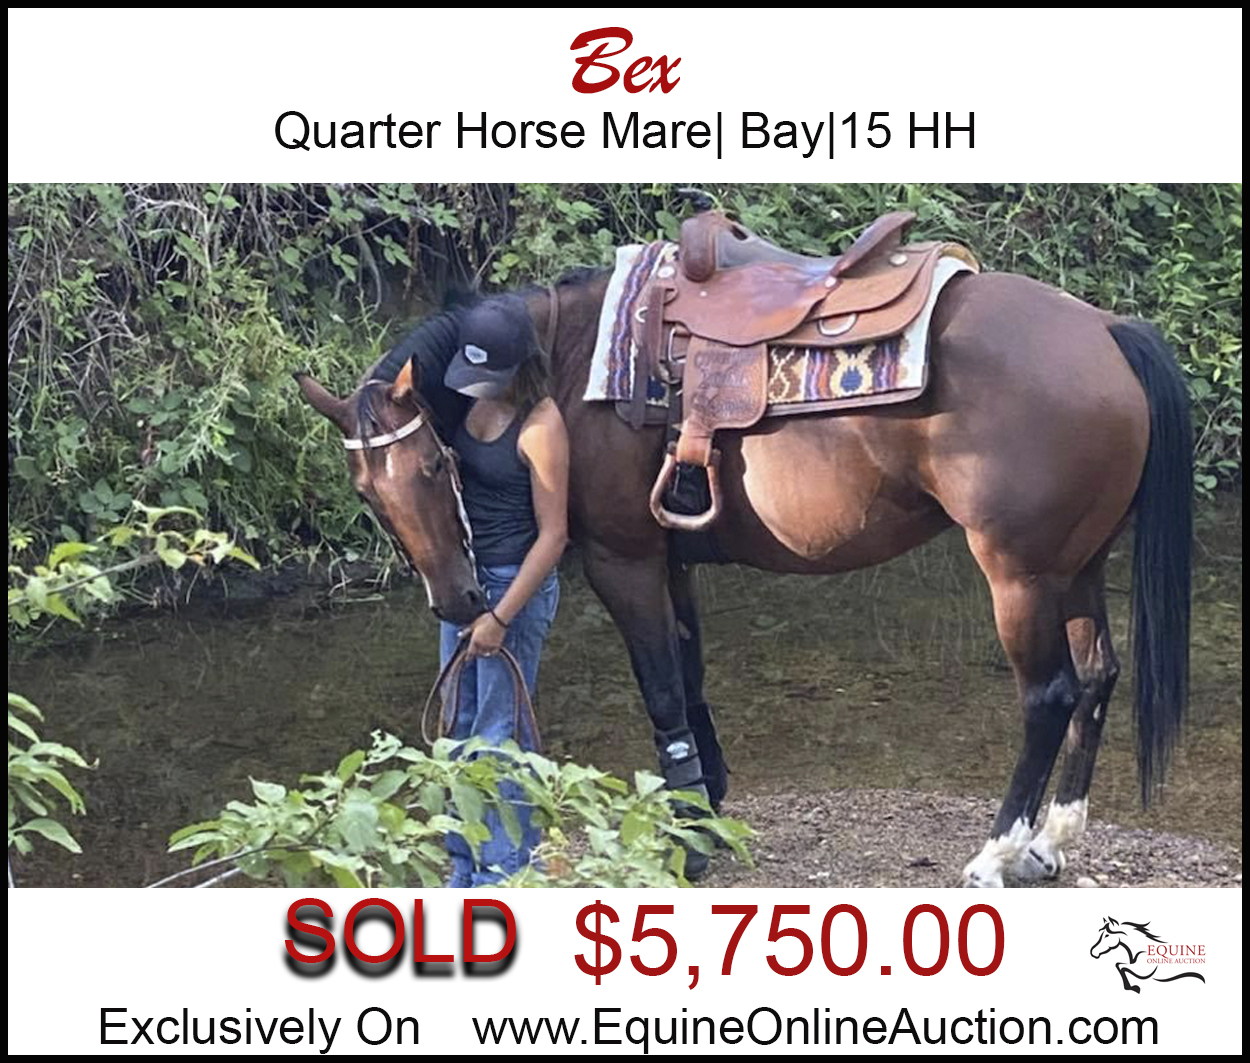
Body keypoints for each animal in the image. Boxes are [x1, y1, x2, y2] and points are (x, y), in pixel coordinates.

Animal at [294, 245, 1193, 889]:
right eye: (366, 491)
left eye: (432, 466)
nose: (457, 599)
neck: (575, 362)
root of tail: (1106, 330)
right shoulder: (671, 556)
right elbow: (689, 674)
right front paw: (707, 802)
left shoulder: (621, 557)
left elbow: (660, 684)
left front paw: (690, 837)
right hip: (1077, 564)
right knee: (1099, 675)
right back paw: (1051, 843)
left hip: (1019, 575)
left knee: (1050, 696)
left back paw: (996, 854)